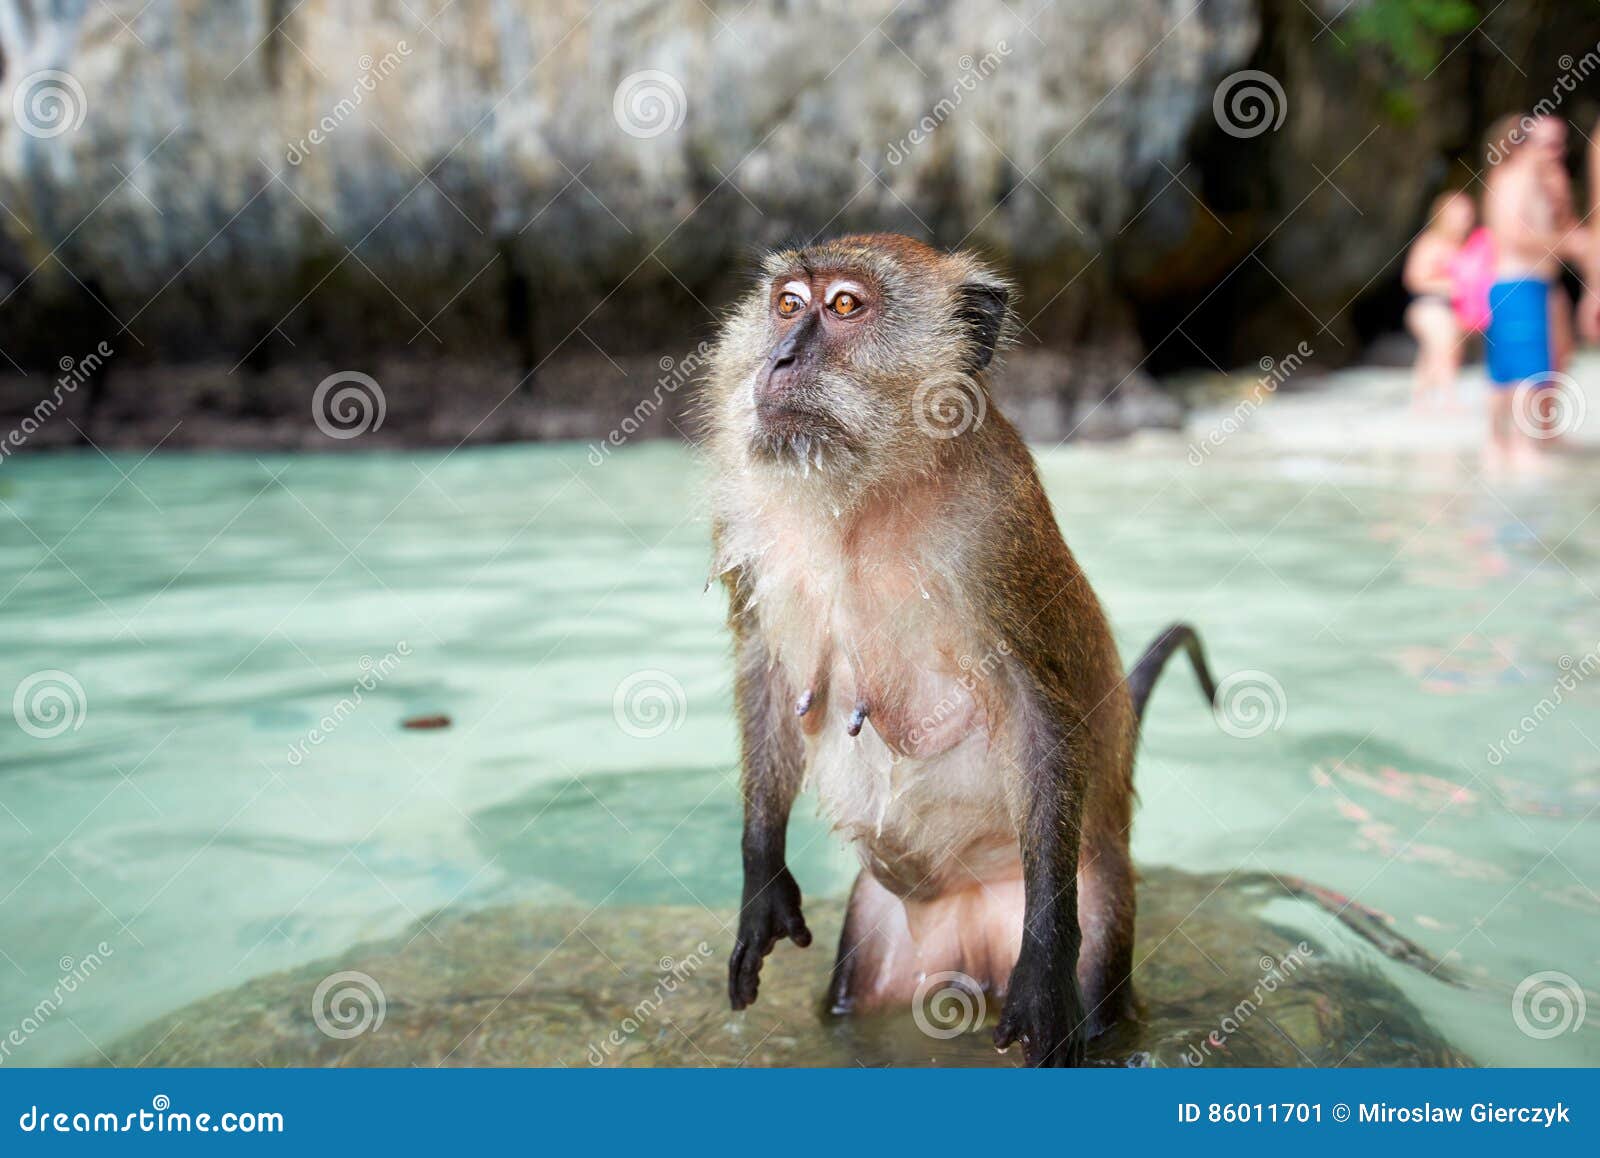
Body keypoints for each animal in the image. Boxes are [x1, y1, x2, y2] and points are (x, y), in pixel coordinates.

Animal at [702, 234, 1219, 1067]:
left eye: (844, 305)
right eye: (786, 303)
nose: (777, 357)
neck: (863, 496)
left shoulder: (996, 533)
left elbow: (1038, 709)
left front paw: (1046, 962)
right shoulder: (745, 521)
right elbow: (769, 675)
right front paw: (760, 884)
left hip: (1102, 899)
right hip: (893, 930)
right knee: (855, 1002)